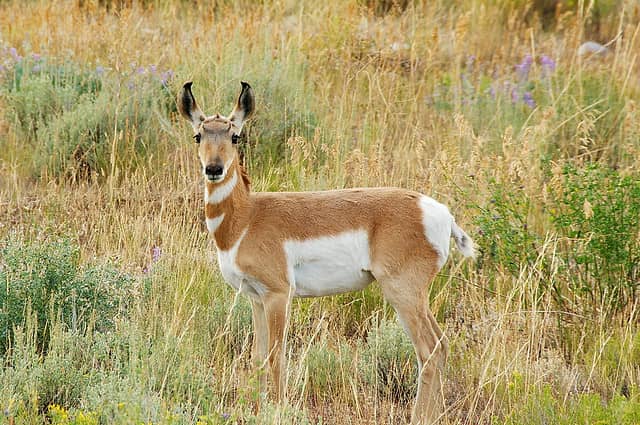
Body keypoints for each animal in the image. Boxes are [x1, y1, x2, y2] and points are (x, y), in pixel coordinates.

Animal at [177, 81, 475, 425]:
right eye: (198, 135)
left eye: (234, 135)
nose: (213, 169)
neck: (247, 217)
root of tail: (437, 211)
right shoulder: (255, 297)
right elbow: (256, 357)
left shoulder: (278, 295)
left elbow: (276, 356)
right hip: (415, 298)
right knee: (442, 345)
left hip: (403, 294)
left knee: (430, 350)